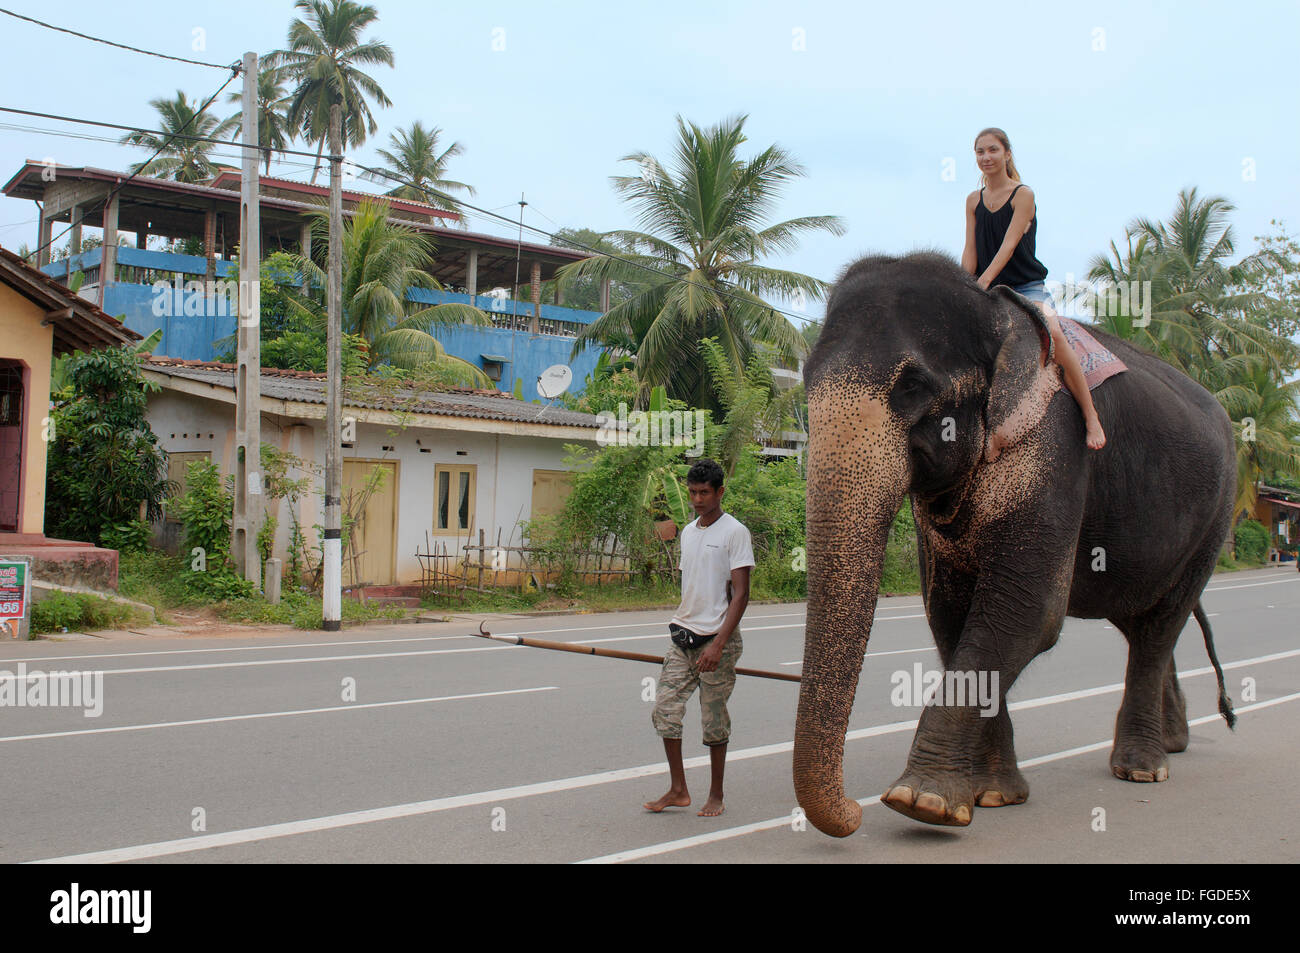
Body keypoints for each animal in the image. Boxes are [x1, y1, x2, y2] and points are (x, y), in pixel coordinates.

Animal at [793, 251, 1237, 837]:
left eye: (913, 386)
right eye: (805, 379)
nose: (851, 813)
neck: (995, 313)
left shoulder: (1054, 444)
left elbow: (1024, 612)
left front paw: (919, 800)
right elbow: (949, 614)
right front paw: (992, 795)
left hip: (1218, 516)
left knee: (1161, 624)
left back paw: (1141, 769)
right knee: (1140, 618)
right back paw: (1174, 741)